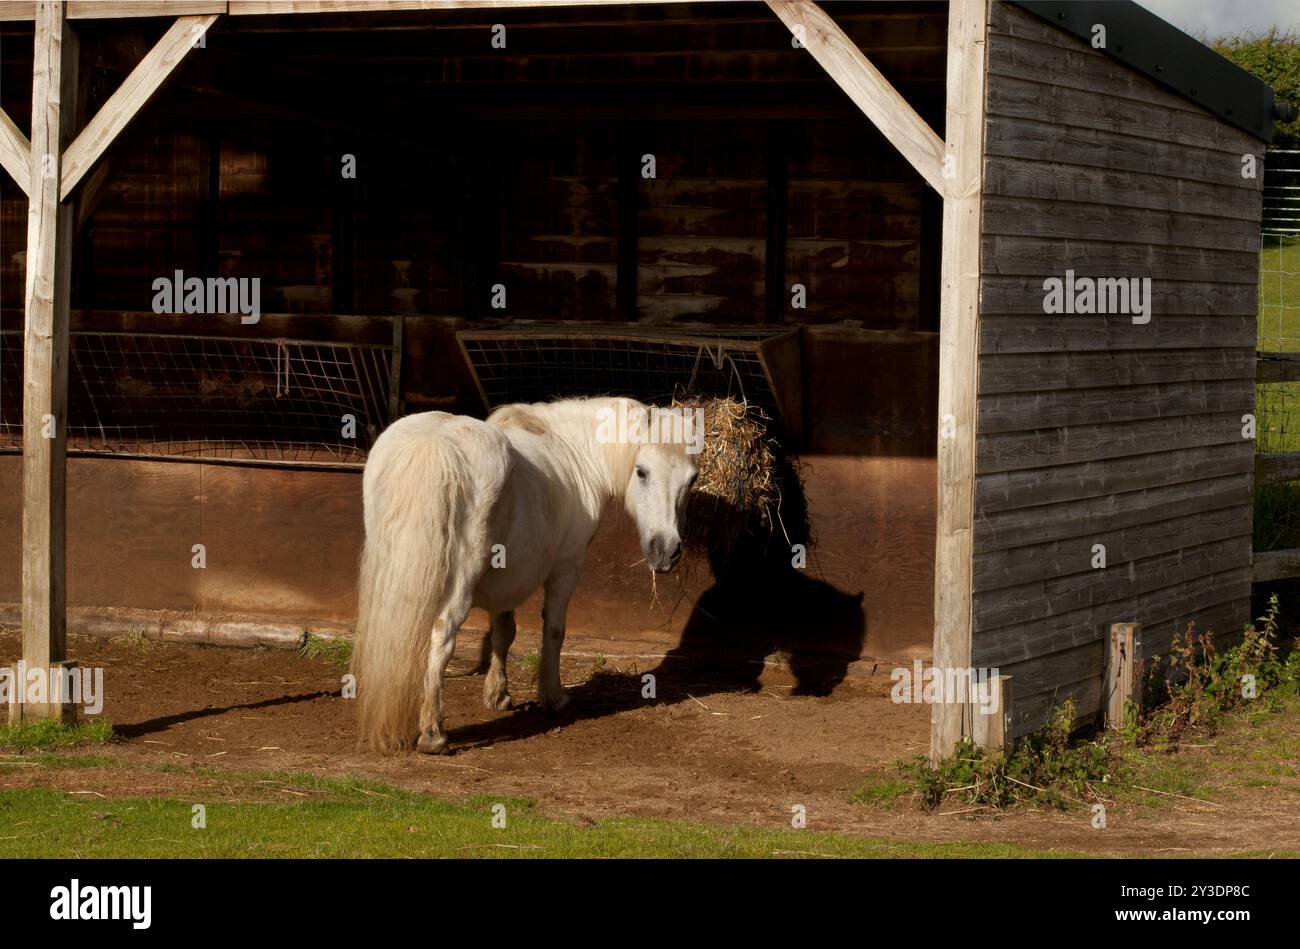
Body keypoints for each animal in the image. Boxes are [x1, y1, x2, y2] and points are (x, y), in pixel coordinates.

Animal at [351, 396, 699, 754]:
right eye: (641, 471)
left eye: (692, 479)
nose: (666, 550)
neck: (571, 451)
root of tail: (431, 445)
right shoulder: (566, 569)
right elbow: (554, 631)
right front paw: (553, 697)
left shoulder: (507, 577)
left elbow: (503, 633)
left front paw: (497, 694)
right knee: (441, 635)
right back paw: (433, 734)